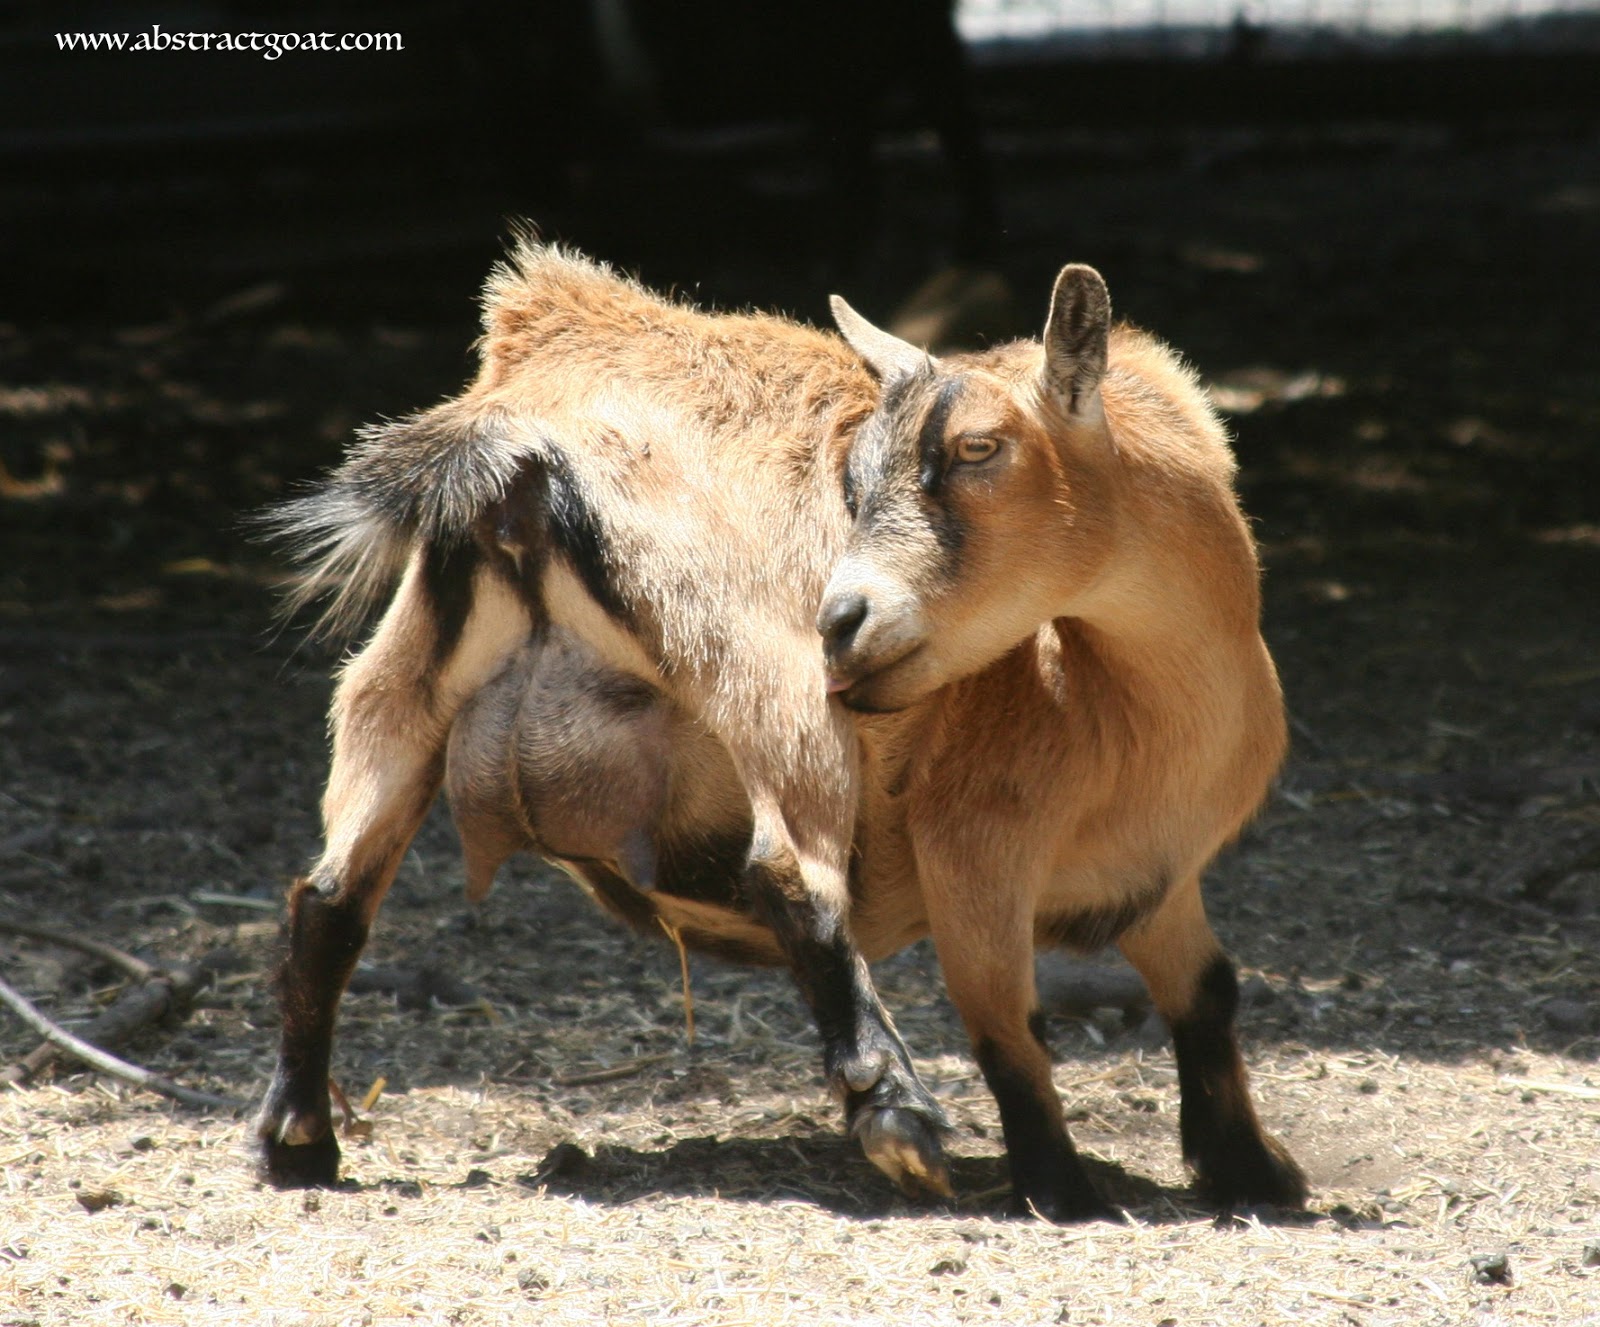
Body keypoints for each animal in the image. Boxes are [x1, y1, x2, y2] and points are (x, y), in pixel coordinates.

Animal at [257, 241, 1305, 1219]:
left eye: (979, 448)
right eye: (857, 476)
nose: (842, 619)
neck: (1122, 697)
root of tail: (524, 444)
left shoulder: (1159, 872)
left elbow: (1209, 990)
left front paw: (1253, 1170)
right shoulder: (976, 843)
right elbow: (1006, 1018)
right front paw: (1062, 1188)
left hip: (399, 684)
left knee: (330, 899)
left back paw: (299, 1139)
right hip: (771, 685)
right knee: (789, 871)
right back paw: (898, 1117)